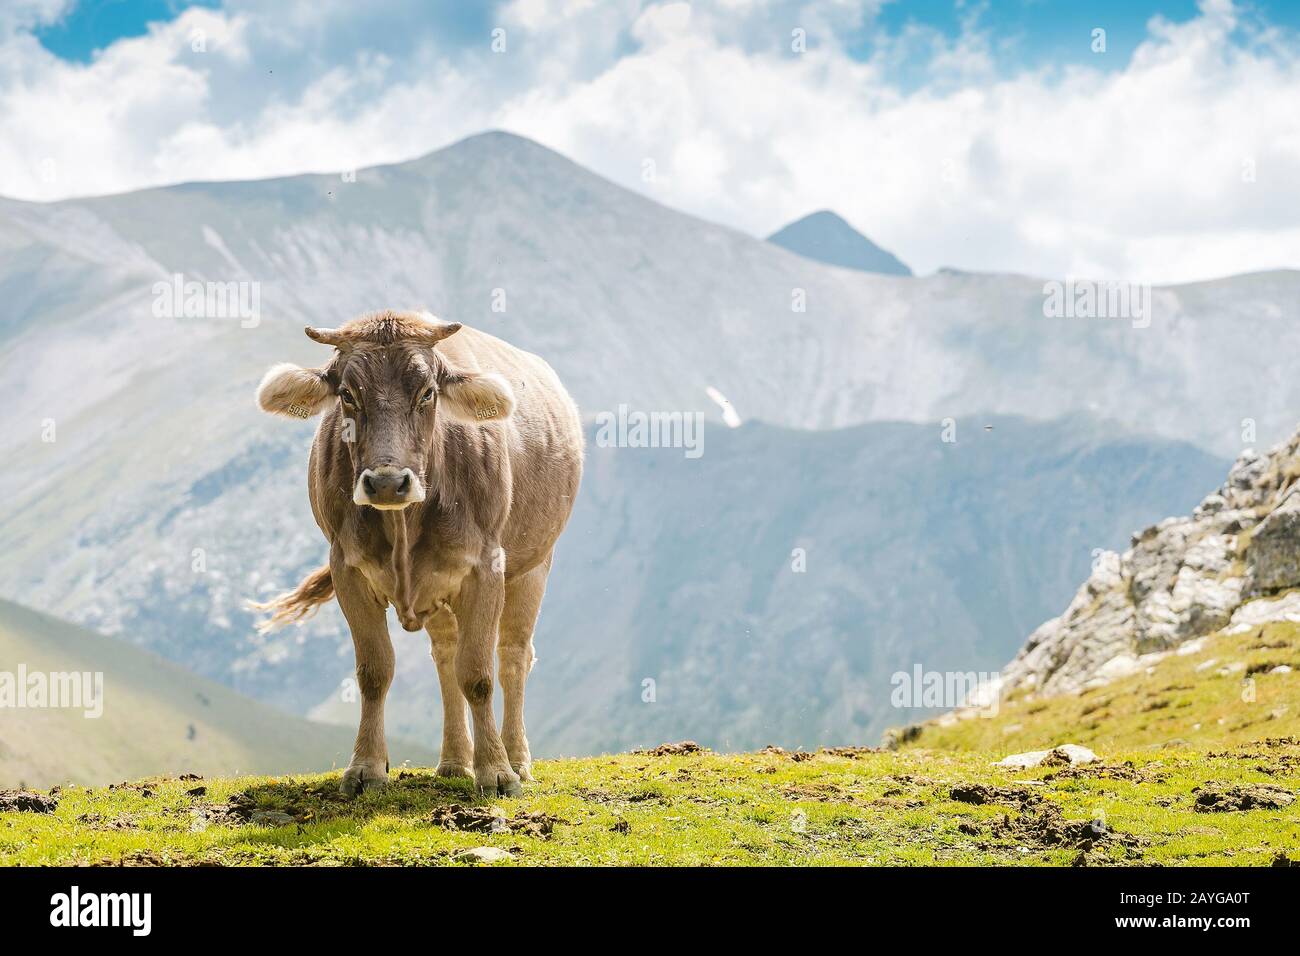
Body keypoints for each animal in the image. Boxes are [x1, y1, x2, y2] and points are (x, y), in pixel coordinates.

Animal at [252, 310, 583, 796]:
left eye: (428, 393)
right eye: (347, 394)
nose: (387, 482)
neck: (404, 522)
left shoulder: (486, 567)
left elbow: (478, 674)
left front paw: (496, 772)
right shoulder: (346, 568)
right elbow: (375, 671)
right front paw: (366, 768)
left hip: (535, 564)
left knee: (513, 655)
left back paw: (517, 759)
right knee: (446, 657)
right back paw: (454, 761)